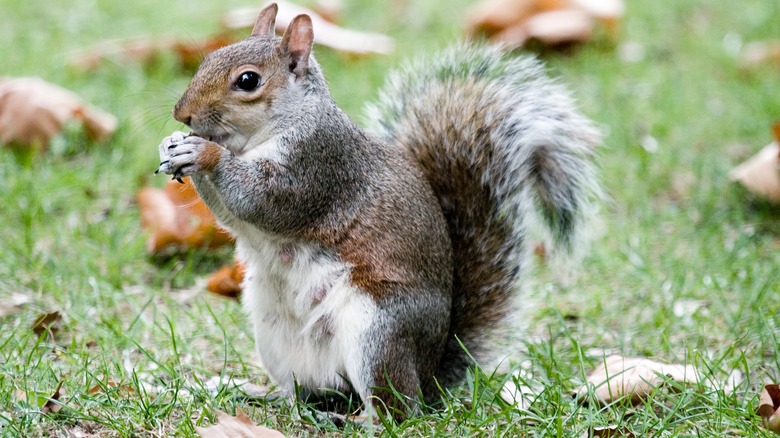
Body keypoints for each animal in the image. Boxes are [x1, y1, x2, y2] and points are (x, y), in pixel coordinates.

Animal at [156, 3, 600, 419]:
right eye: (208, 60)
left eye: (248, 80)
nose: (182, 114)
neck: (265, 133)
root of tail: (429, 374)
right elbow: (231, 215)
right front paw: (173, 144)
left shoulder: (316, 167)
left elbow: (259, 199)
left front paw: (205, 152)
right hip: (274, 334)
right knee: (307, 390)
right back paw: (260, 392)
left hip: (378, 331)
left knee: (398, 409)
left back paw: (355, 420)